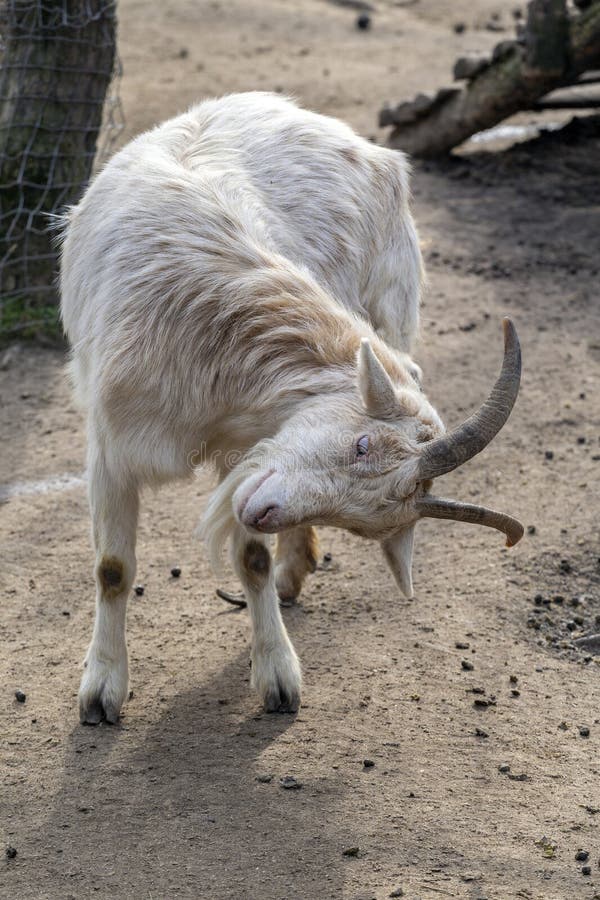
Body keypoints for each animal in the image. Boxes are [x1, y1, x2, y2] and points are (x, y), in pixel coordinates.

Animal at [59, 92, 522, 724]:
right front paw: (102, 689)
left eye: (357, 521)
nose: (266, 513)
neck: (215, 330)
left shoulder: (242, 449)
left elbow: (249, 558)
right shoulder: (110, 449)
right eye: (362, 444)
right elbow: (112, 569)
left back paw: (290, 571)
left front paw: (277, 675)